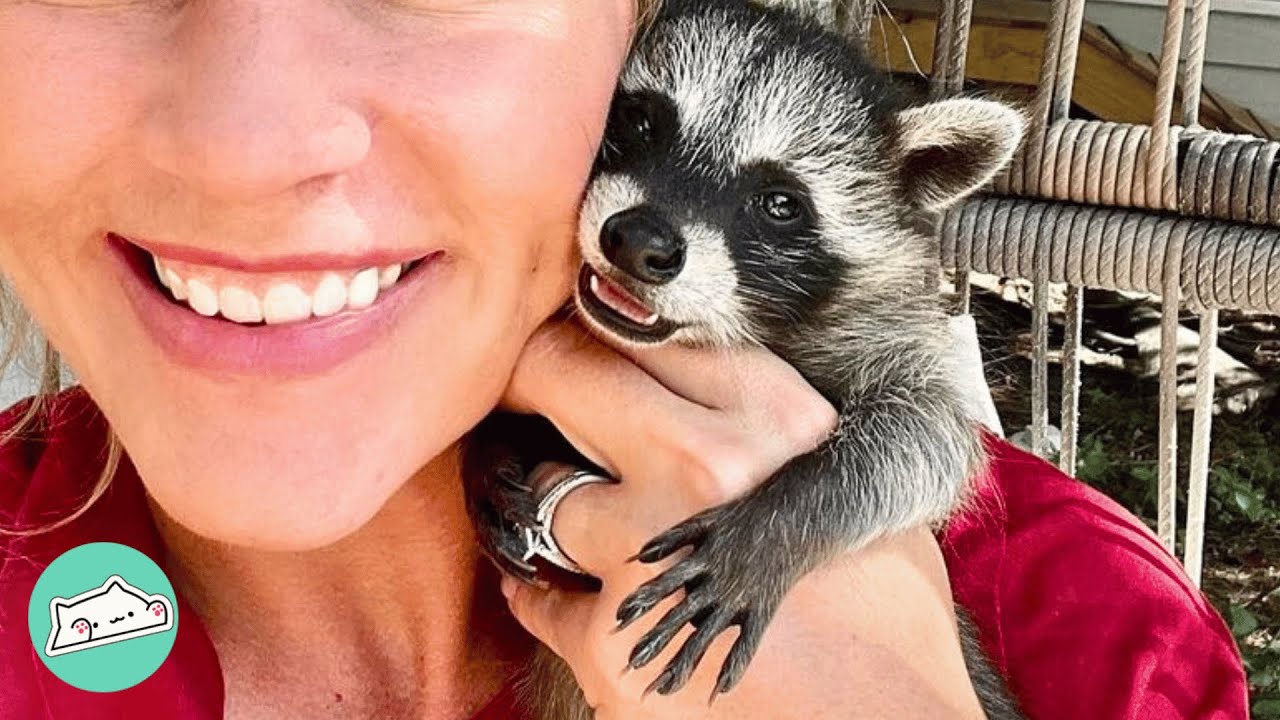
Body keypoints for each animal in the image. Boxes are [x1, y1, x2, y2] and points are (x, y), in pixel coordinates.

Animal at [463, 1, 1026, 717]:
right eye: (639, 122)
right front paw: (486, 450)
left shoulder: (896, 345)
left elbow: (926, 440)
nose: (639, 242)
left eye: (780, 203)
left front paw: (782, 520)